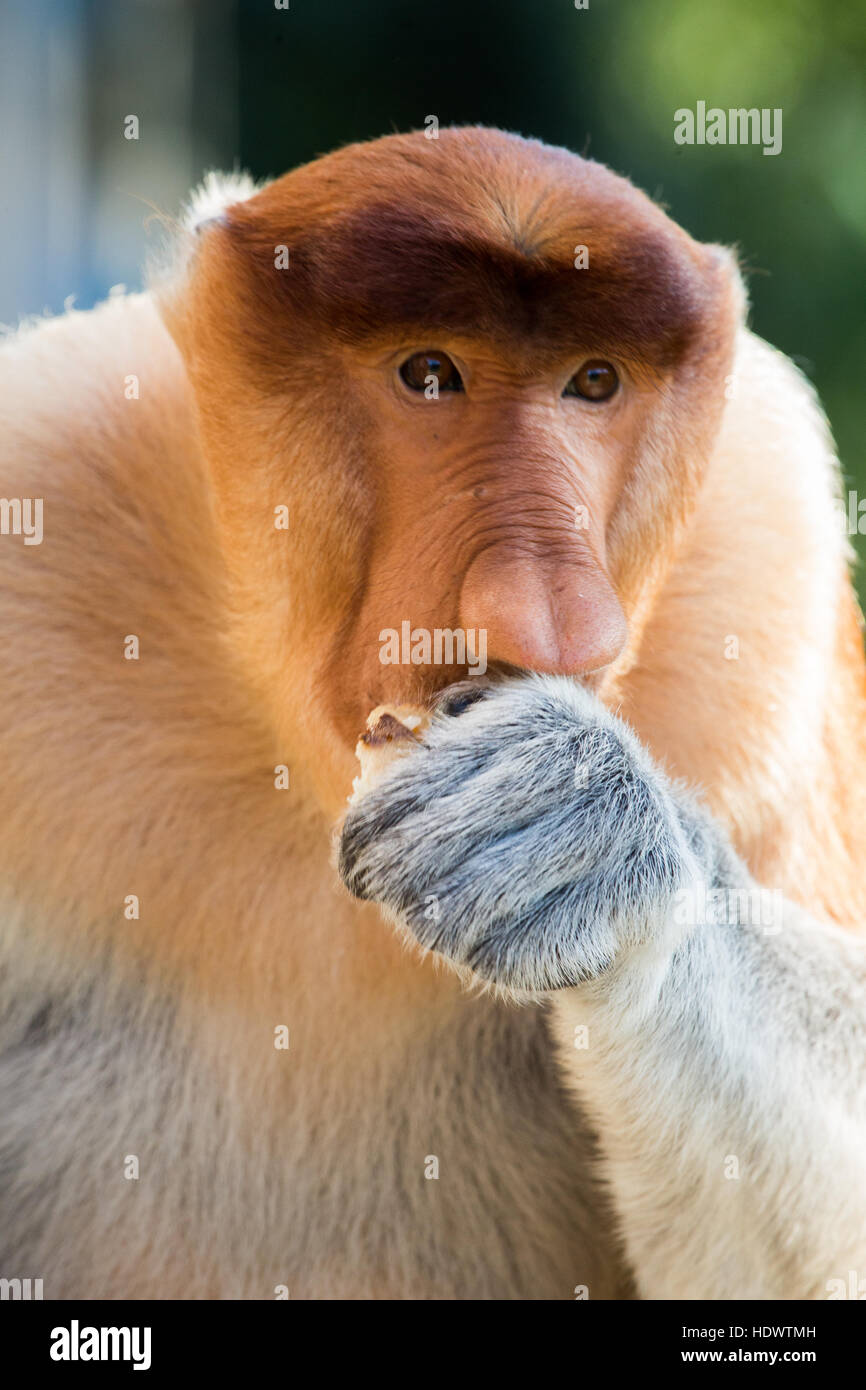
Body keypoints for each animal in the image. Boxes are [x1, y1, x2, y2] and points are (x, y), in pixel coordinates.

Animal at [0, 126, 863, 1300]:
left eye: (595, 381)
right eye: (428, 373)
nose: (558, 616)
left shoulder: (769, 554)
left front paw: (577, 828)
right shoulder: (39, 476)